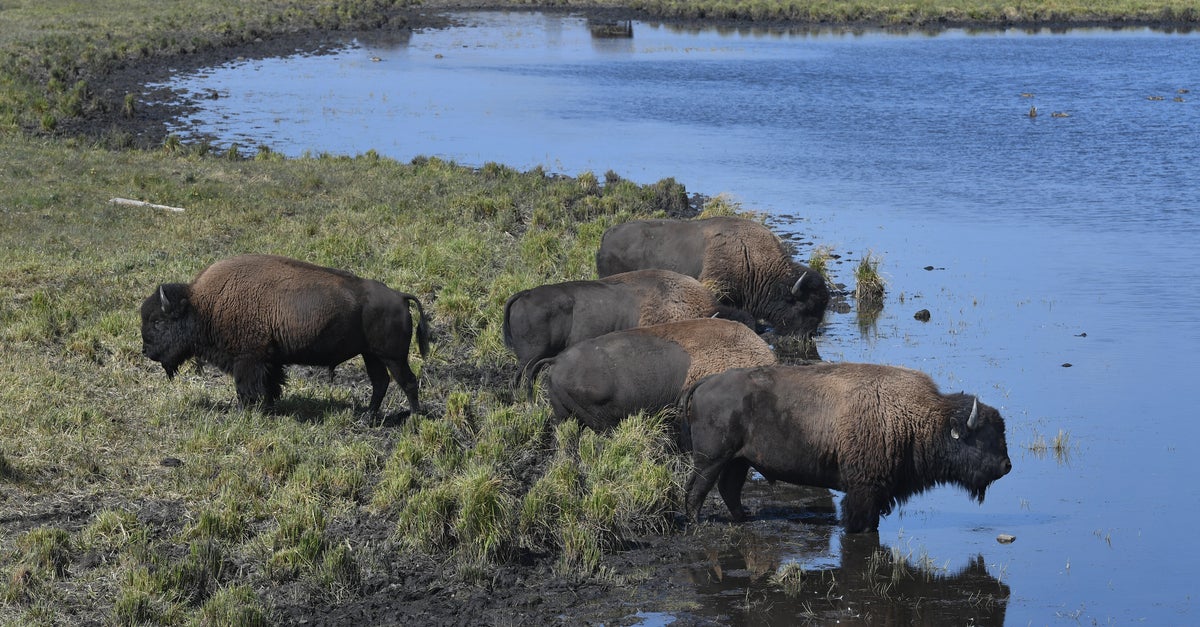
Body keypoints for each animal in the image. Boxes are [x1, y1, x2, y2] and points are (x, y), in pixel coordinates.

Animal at [140, 254, 430, 415]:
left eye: (158, 321)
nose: (146, 351)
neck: (202, 305)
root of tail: (399, 296)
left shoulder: (248, 359)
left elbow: (246, 388)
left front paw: (243, 411)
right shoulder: (269, 360)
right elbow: (271, 384)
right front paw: (269, 409)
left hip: (393, 356)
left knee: (408, 382)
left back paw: (414, 419)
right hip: (371, 355)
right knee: (381, 383)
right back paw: (368, 417)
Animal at [680, 363, 1011, 532]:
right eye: (983, 437)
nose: (1006, 466)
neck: (915, 418)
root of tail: (706, 382)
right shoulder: (863, 490)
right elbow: (860, 521)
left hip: (738, 460)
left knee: (728, 488)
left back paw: (743, 517)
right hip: (711, 459)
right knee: (697, 489)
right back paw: (697, 523)